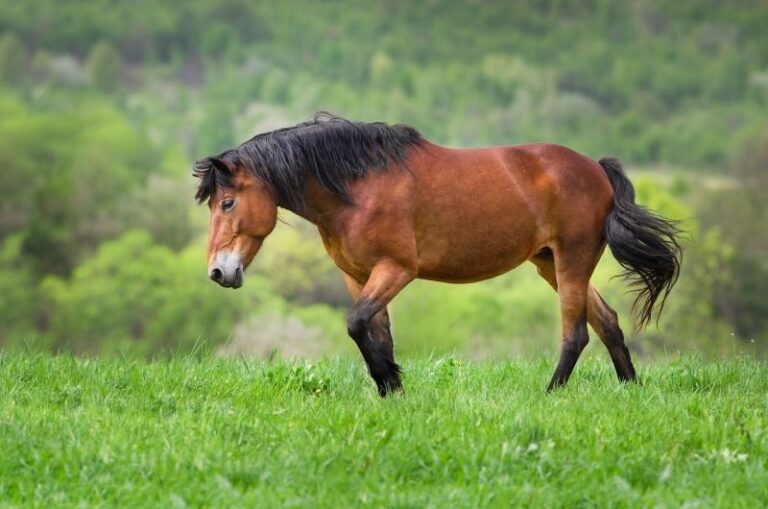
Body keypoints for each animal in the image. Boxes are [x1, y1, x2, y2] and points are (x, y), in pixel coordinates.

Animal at [194, 114, 681, 396]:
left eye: (228, 203)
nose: (218, 271)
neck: (358, 187)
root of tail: (596, 168)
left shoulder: (396, 270)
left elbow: (356, 324)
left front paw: (391, 382)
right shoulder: (359, 275)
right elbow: (375, 332)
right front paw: (392, 389)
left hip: (571, 260)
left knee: (576, 334)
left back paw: (551, 394)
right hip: (549, 263)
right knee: (608, 322)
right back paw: (630, 390)